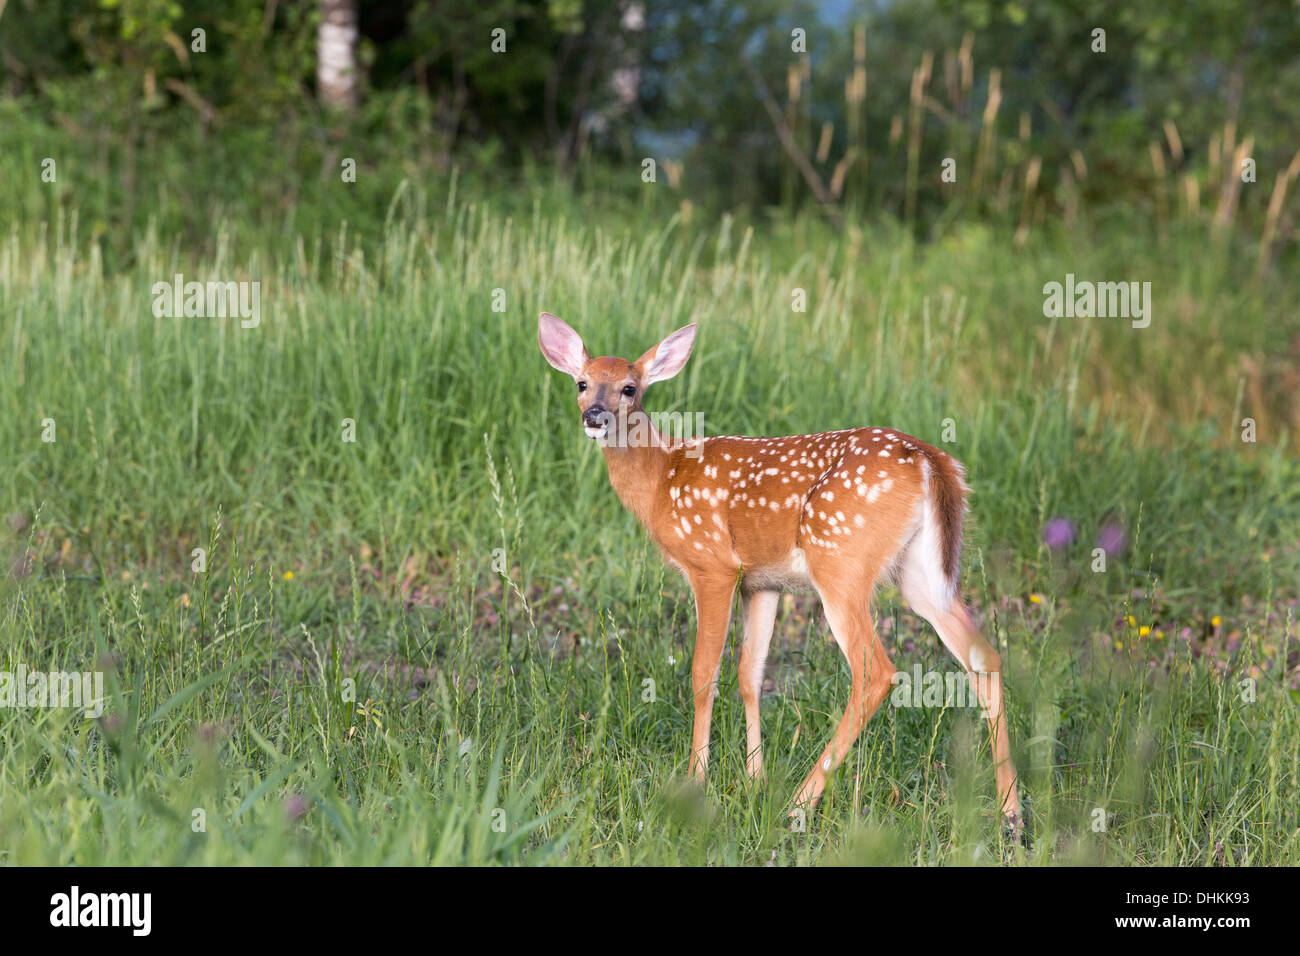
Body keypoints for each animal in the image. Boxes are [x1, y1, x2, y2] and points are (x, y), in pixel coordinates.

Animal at [538, 312, 1021, 832]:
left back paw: (799, 804)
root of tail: (933, 462)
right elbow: (750, 672)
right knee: (984, 655)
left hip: (840, 562)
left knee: (876, 671)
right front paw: (754, 778)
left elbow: (703, 672)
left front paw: (696, 780)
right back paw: (1011, 814)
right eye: (583, 383)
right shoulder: (763, 582)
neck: (663, 478)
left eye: (629, 388)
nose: (594, 415)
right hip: (921, 574)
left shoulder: (712, 565)